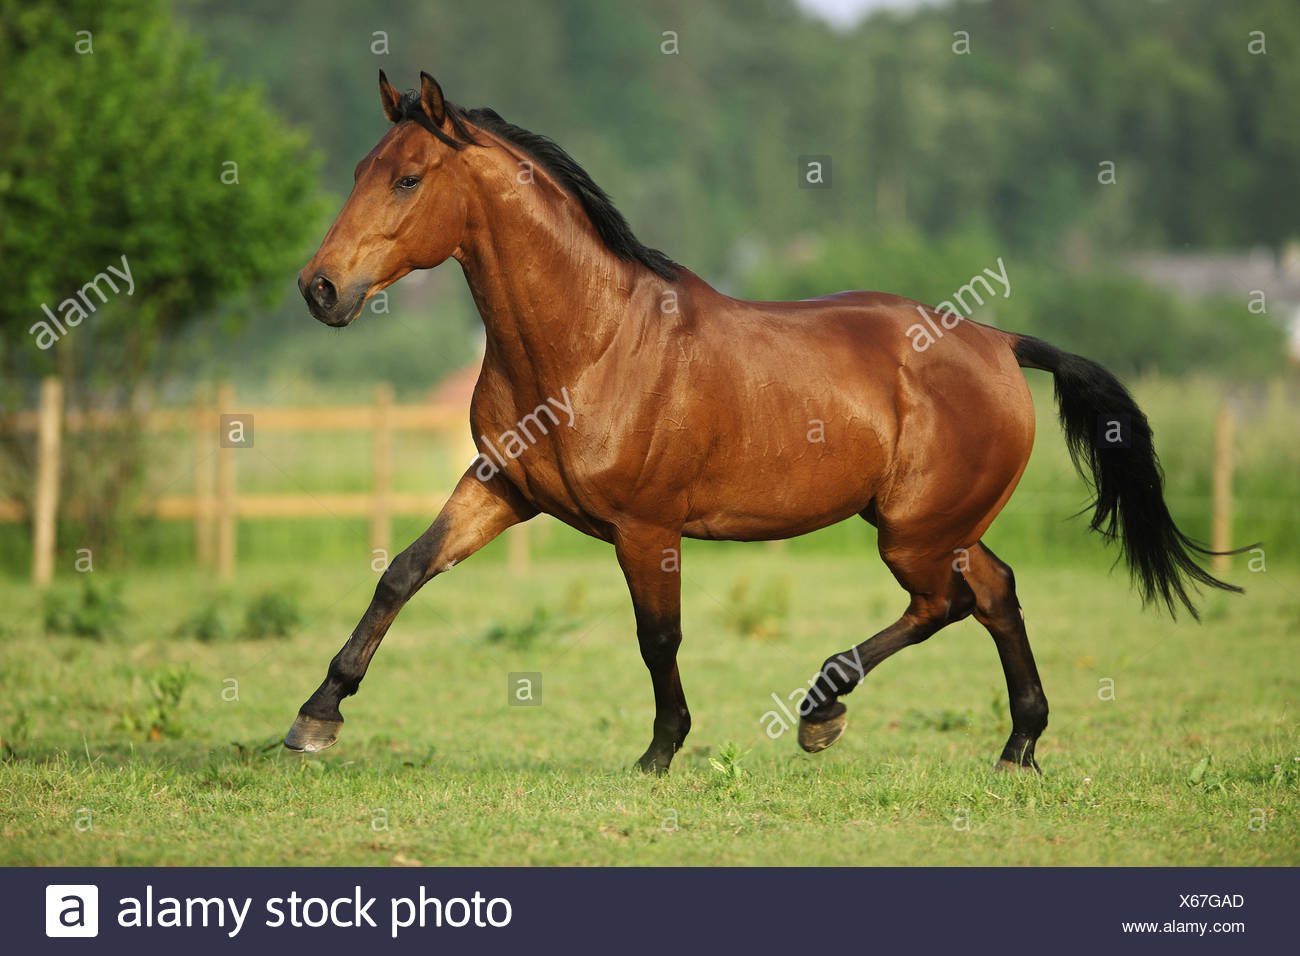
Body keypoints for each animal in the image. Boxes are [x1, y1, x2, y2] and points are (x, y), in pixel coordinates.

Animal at [286, 70, 1242, 773]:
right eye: (361, 169)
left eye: (409, 177)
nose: (320, 288)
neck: (590, 343)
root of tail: (1000, 342)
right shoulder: (502, 488)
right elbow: (403, 573)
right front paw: (315, 718)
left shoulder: (645, 525)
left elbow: (657, 635)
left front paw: (660, 752)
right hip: (943, 526)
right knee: (995, 593)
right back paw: (1018, 744)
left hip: (915, 533)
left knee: (946, 602)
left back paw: (824, 710)